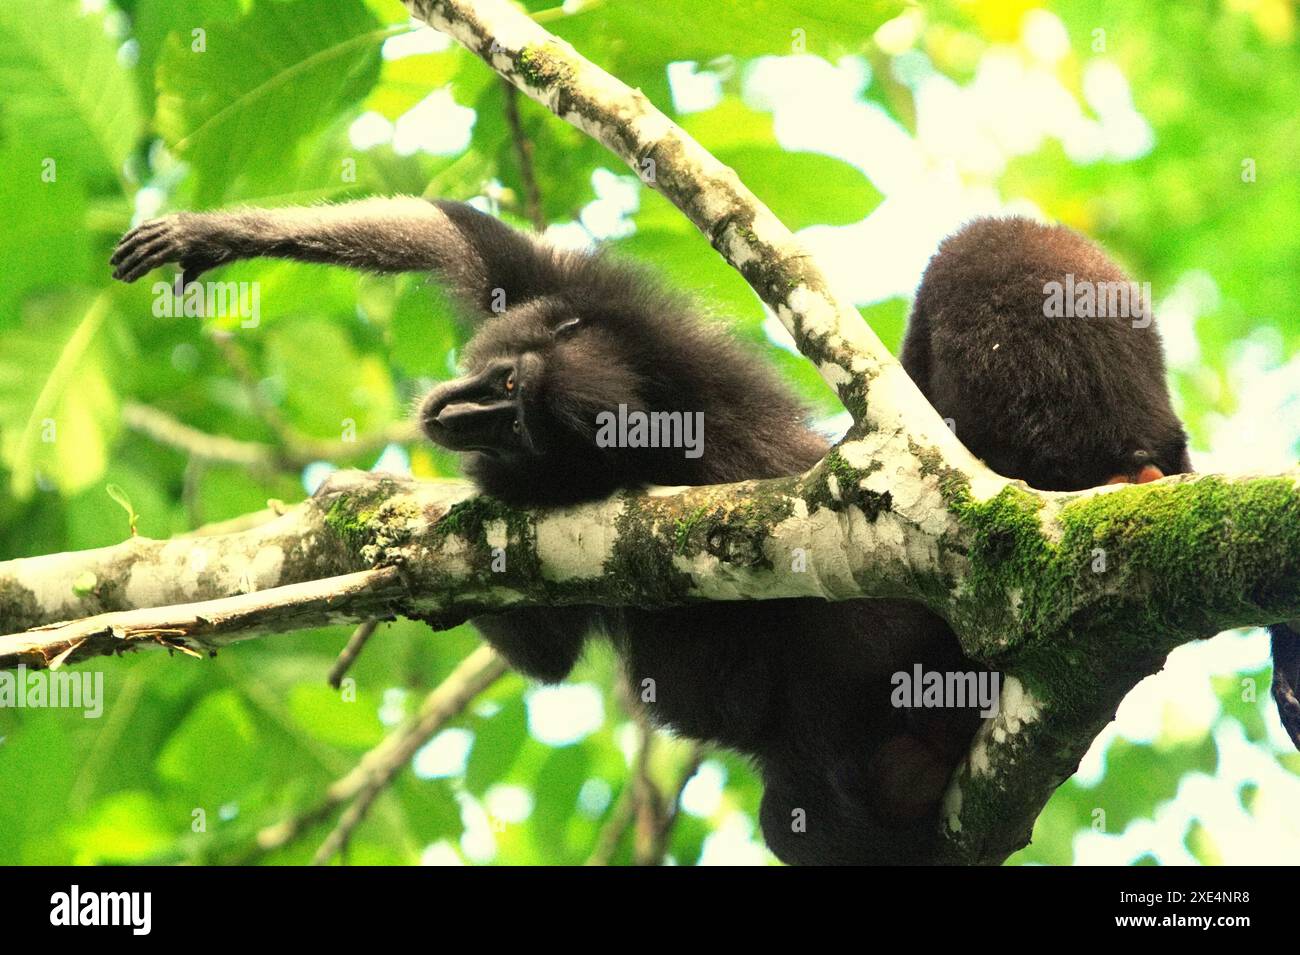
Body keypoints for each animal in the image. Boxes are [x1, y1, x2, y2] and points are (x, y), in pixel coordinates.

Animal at [112, 200, 1287, 864]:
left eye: (512, 391)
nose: (471, 402)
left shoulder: (645, 351)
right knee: (796, 813)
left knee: (988, 255)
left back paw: (1127, 465)